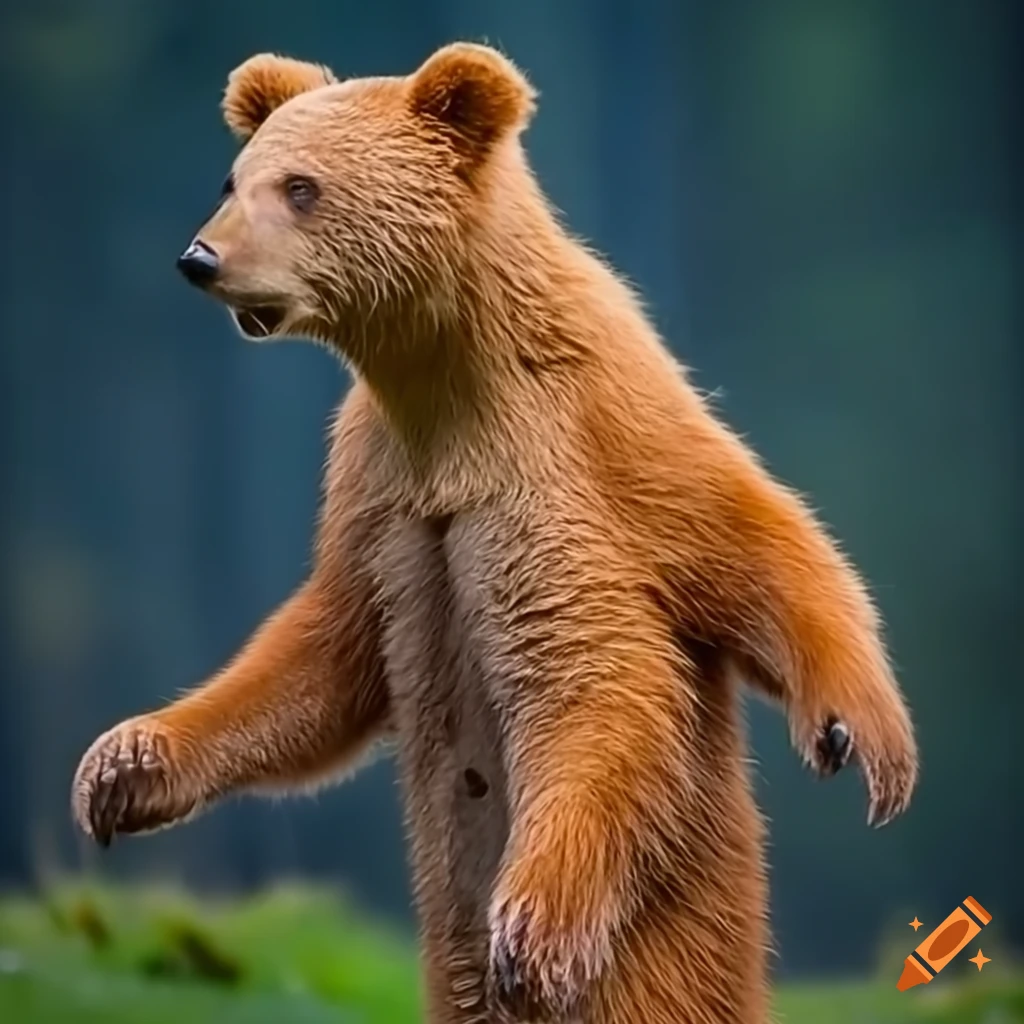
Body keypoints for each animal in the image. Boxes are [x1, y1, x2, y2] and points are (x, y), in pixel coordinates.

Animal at [71, 42, 918, 1023]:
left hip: (671, 933)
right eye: (232, 177)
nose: (200, 258)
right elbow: (322, 656)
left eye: (301, 187)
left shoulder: (580, 449)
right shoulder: (377, 486)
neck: (443, 384)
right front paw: (122, 764)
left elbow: (671, 615)